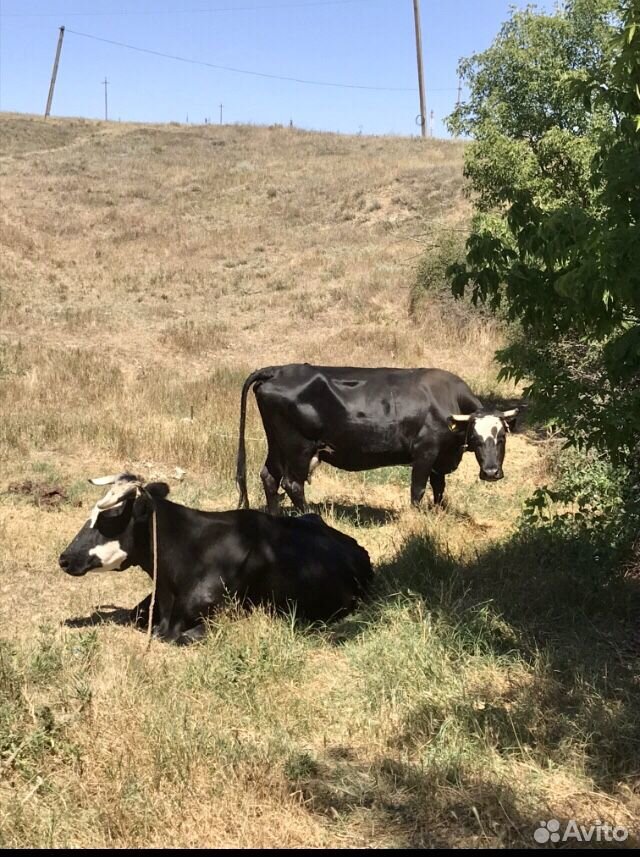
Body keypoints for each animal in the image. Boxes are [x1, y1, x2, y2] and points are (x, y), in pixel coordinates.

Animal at [236, 364, 518, 513]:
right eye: (477, 438)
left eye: (502, 437)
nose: (491, 473)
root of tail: (277, 371)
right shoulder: (425, 452)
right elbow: (418, 489)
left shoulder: (440, 457)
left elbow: (439, 488)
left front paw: (437, 513)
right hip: (298, 447)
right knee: (292, 484)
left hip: (277, 445)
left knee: (269, 477)